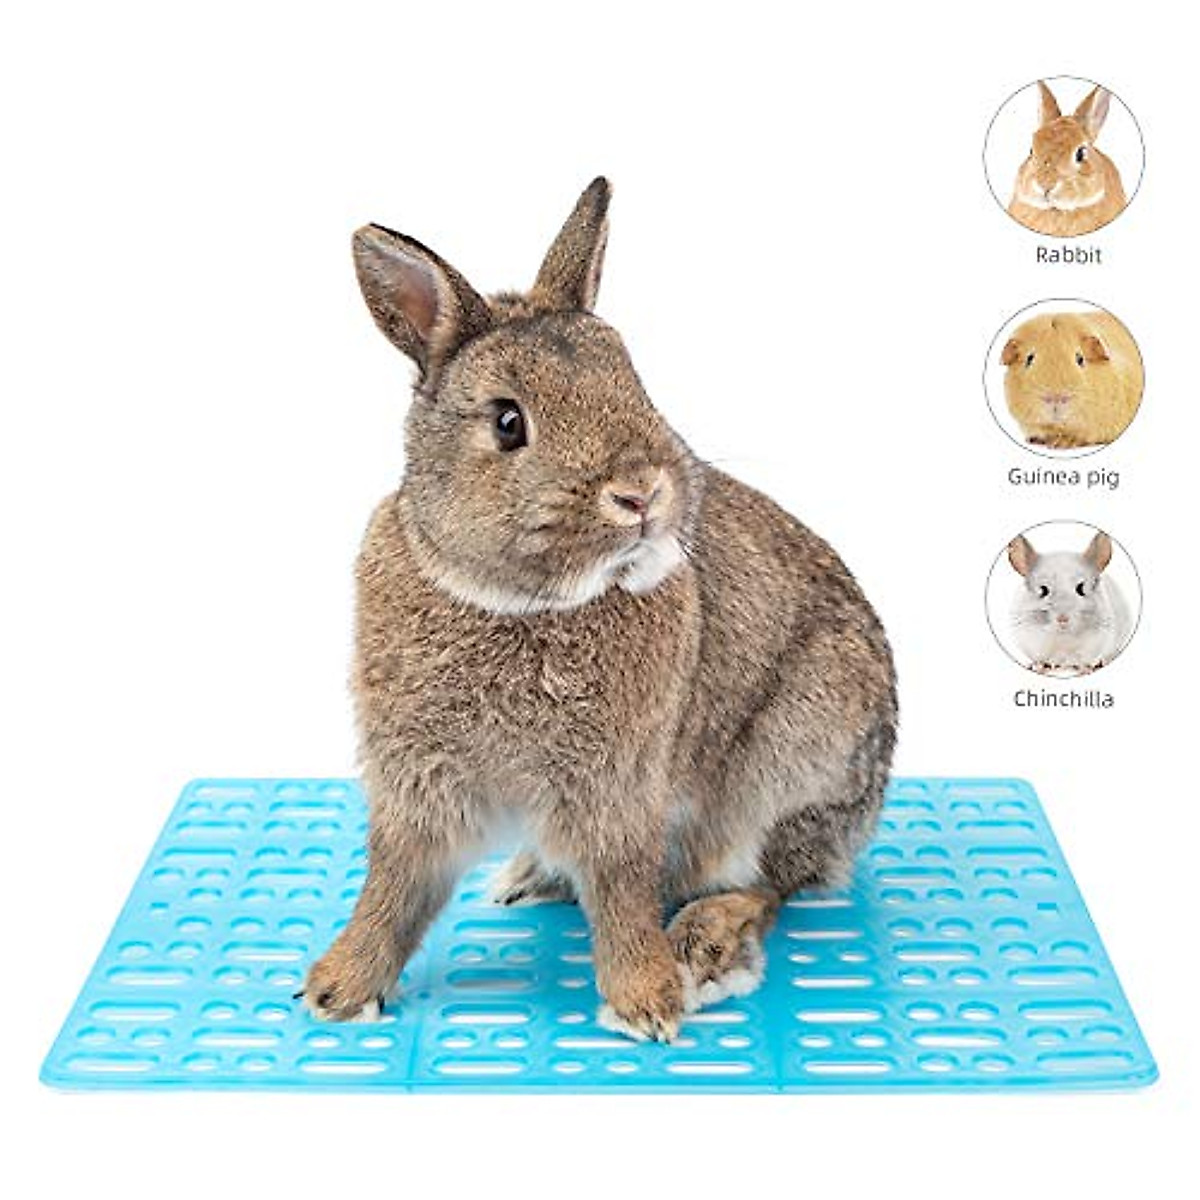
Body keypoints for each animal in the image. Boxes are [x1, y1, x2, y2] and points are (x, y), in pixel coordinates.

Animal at [298, 179, 898, 1042]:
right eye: (508, 421)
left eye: (634, 385)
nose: (642, 492)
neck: (520, 604)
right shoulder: (419, 788)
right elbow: (396, 885)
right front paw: (338, 990)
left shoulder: (619, 790)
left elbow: (620, 891)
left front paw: (647, 1004)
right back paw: (531, 878)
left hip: (792, 764)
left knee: (769, 881)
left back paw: (705, 945)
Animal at [1008, 530, 1133, 676]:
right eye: (1043, 590)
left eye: (1081, 588)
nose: (1063, 619)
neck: (1063, 637)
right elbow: (1041, 659)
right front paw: (1039, 667)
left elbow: (1082, 660)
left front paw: (1085, 669)